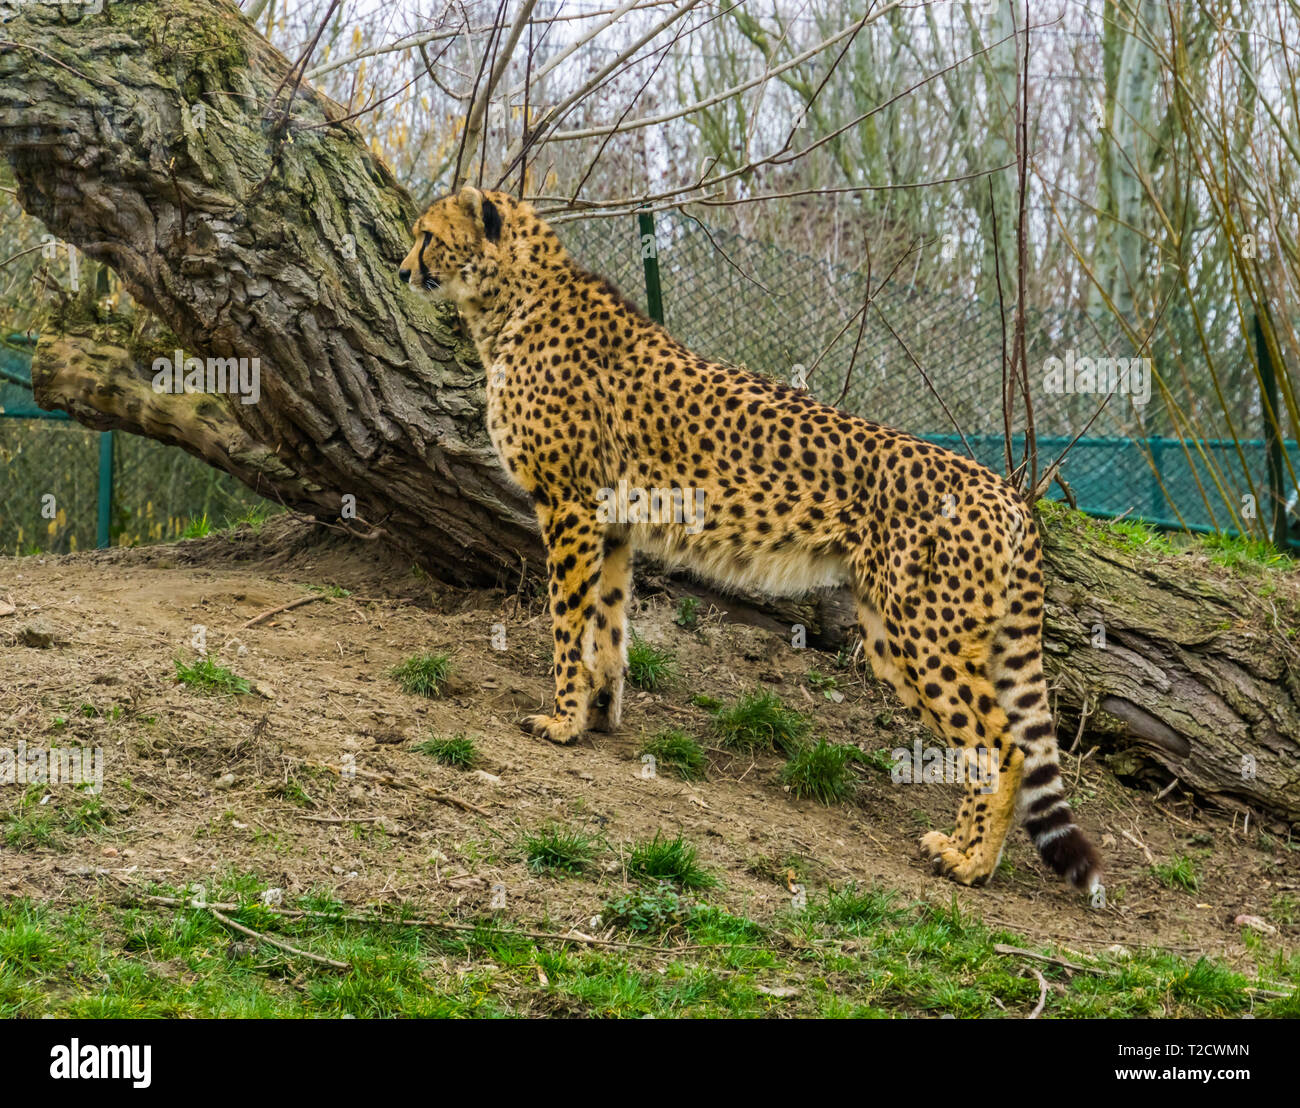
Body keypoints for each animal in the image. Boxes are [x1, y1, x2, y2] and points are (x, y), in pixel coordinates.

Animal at [398, 186, 1102, 892]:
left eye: (427, 235)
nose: (404, 271)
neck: (511, 299)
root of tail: (1006, 492)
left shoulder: (569, 505)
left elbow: (569, 623)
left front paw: (563, 720)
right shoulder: (613, 523)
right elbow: (609, 625)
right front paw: (598, 711)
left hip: (922, 633)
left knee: (1004, 745)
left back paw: (970, 862)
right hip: (901, 630)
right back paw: (962, 848)